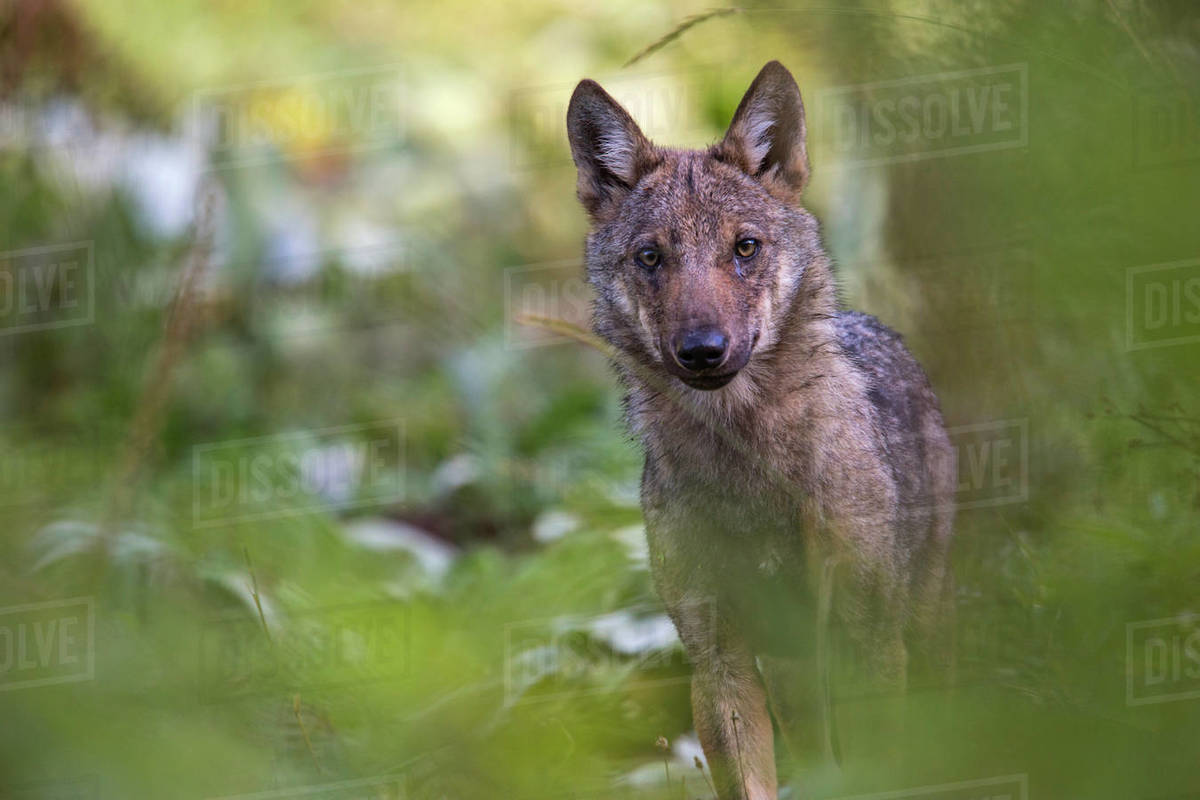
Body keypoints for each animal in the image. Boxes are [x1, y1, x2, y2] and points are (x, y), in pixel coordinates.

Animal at [565, 61, 957, 799]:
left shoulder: (865, 638)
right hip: (794, 673)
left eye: (744, 247)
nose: (702, 351)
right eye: (651, 258)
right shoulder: (716, 656)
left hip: (908, 630)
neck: (747, 464)